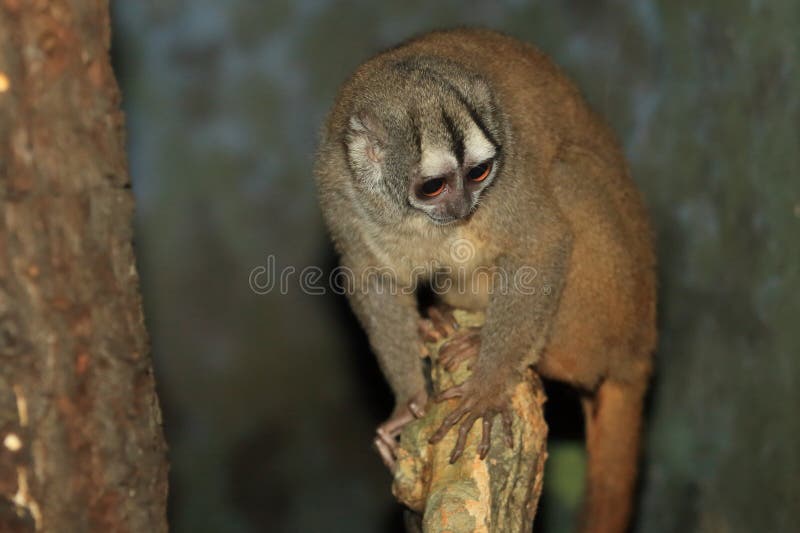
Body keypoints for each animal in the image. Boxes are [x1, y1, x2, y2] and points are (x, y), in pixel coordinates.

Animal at [315, 28, 656, 533]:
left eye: (478, 173)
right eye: (434, 186)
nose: (462, 206)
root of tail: (639, 350)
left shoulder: (510, 178)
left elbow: (543, 242)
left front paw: (489, 384)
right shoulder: (339, 188)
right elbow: (370, 276)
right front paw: (407, 402)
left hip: (611, 312)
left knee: (566, 177)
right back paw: (439, 321)